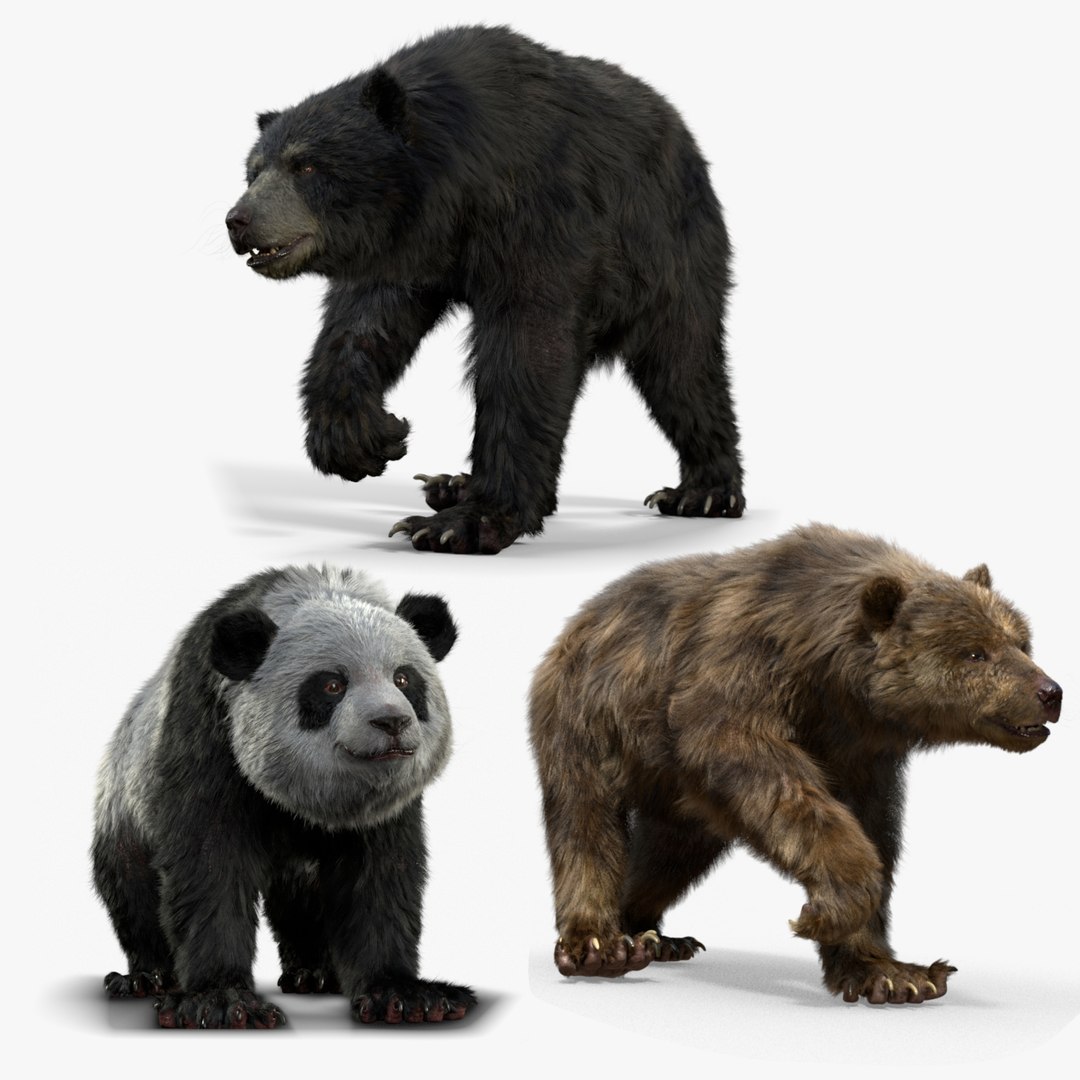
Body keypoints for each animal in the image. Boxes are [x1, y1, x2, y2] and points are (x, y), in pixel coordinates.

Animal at [92, 565, 476, 1027]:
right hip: (126, 799)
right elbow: (209, 864)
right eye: (331, 685)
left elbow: (381, 875)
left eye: (404, 679)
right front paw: (219, 1001)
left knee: (303, 902)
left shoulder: (386, 807)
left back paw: (315, 974)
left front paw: (403, 995)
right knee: (132, 889)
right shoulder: (208, 731)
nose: (391, 721)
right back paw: (147, 977)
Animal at [224, 25, 744, 555]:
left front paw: (465, 523)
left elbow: (527, 350)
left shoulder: (539, 210)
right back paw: (452, 484)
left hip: (669, 253)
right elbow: (364, 323)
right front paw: (364, 438)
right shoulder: (410, 248)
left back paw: (702, 492)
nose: (238, 220)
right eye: (253, 169)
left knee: (682, 366)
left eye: (306, 166)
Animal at [528, 524, 1062, 1003]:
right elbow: (769, 776)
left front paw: (892, 974)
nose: (1050, 692)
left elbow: (876, 830)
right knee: (586, 823)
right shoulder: (739, 672)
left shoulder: (859, 754)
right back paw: (598, 944)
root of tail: (577, 620)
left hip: (676, 795)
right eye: (975, 653)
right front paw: (823, 911)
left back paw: (651, 934)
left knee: (668, 852)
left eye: (1021, 641)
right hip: (590, 720)